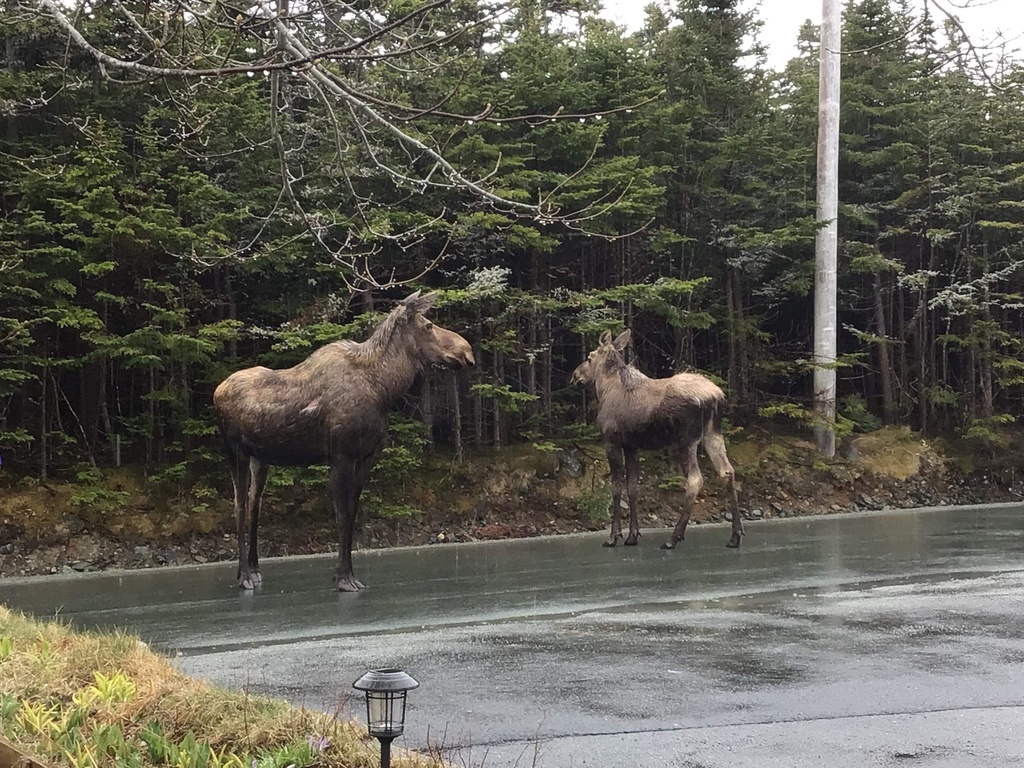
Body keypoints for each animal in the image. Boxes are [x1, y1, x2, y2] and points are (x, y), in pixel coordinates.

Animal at [213, 291, 474, 591]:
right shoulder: (341, 455)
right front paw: (344, 578)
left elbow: (352, 514)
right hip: (236, 452)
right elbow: (341, 515)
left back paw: (252, 570)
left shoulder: (366, 456)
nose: (467, 351)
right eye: (428, 325)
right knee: (239, 505)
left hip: (261, 458)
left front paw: (348, 574)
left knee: (254, 503)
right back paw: (244, 576)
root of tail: (215, 393)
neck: (384, 389)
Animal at [570, 329, 743, 551]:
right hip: (713, 435)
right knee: (727, 472)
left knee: (695, 479)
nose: (575, 375)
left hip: (685, 440)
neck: (605, 389)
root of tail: (716, 397)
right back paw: (735, 536)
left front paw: (613, 536)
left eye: (590, 357)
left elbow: (616, 487)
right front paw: (632, 535)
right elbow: (633, 487)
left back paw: (673, 538)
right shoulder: (632, 445)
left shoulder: (612, 441)